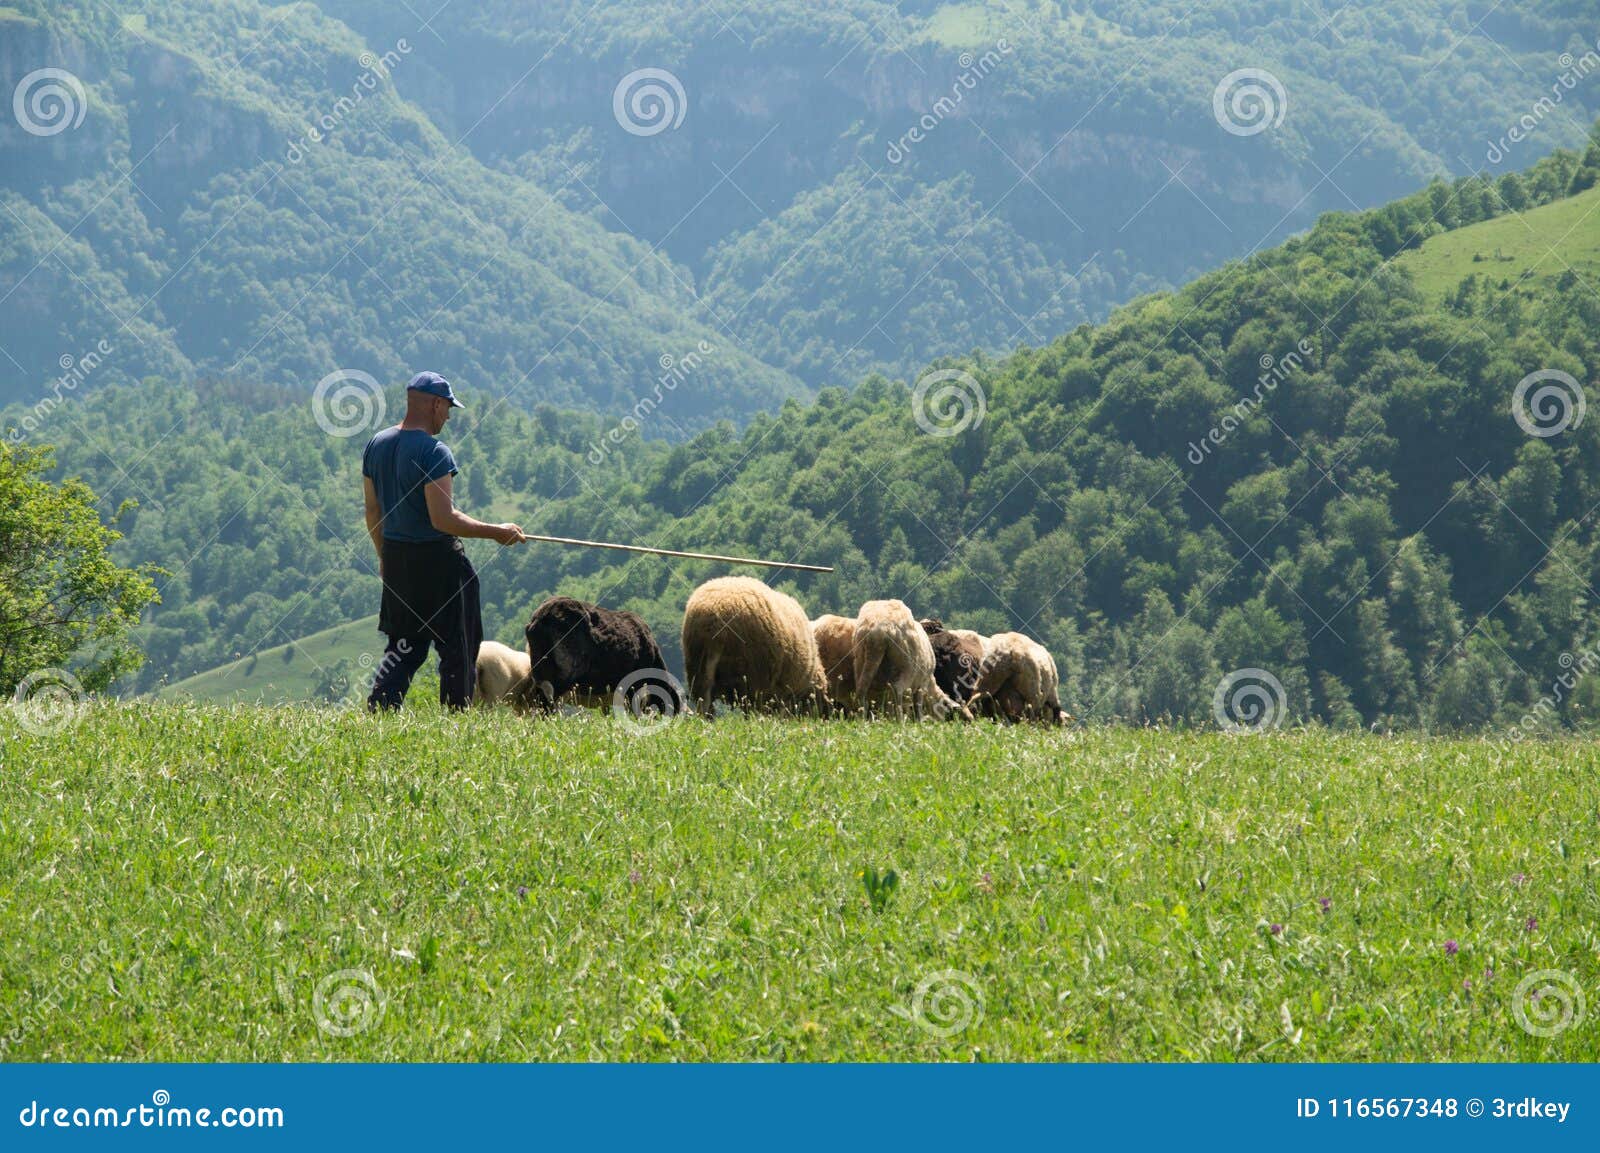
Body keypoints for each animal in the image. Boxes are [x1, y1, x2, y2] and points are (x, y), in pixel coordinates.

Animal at [682, 576, 828, 716]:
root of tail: (715, 622)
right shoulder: (781, 693)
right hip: (750, 676)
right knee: (749, 710)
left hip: (699, 670)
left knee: (704, 706)